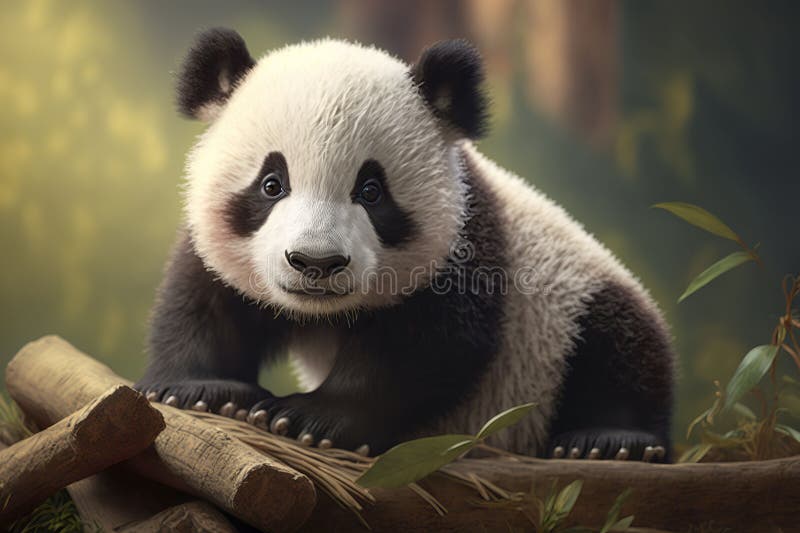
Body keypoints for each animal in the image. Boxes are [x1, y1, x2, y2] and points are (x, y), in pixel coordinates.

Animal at [136, 28, 675, 462]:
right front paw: (203, 391)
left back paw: (609, 440)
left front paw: (310, 418)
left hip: (570, 313)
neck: (327, 313)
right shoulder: (225, 249)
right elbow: (206, 302)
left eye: (372, 190)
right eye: (272, 184)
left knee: (619, 348)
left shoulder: (463, 240)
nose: (316, 263)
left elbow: (429, 347)